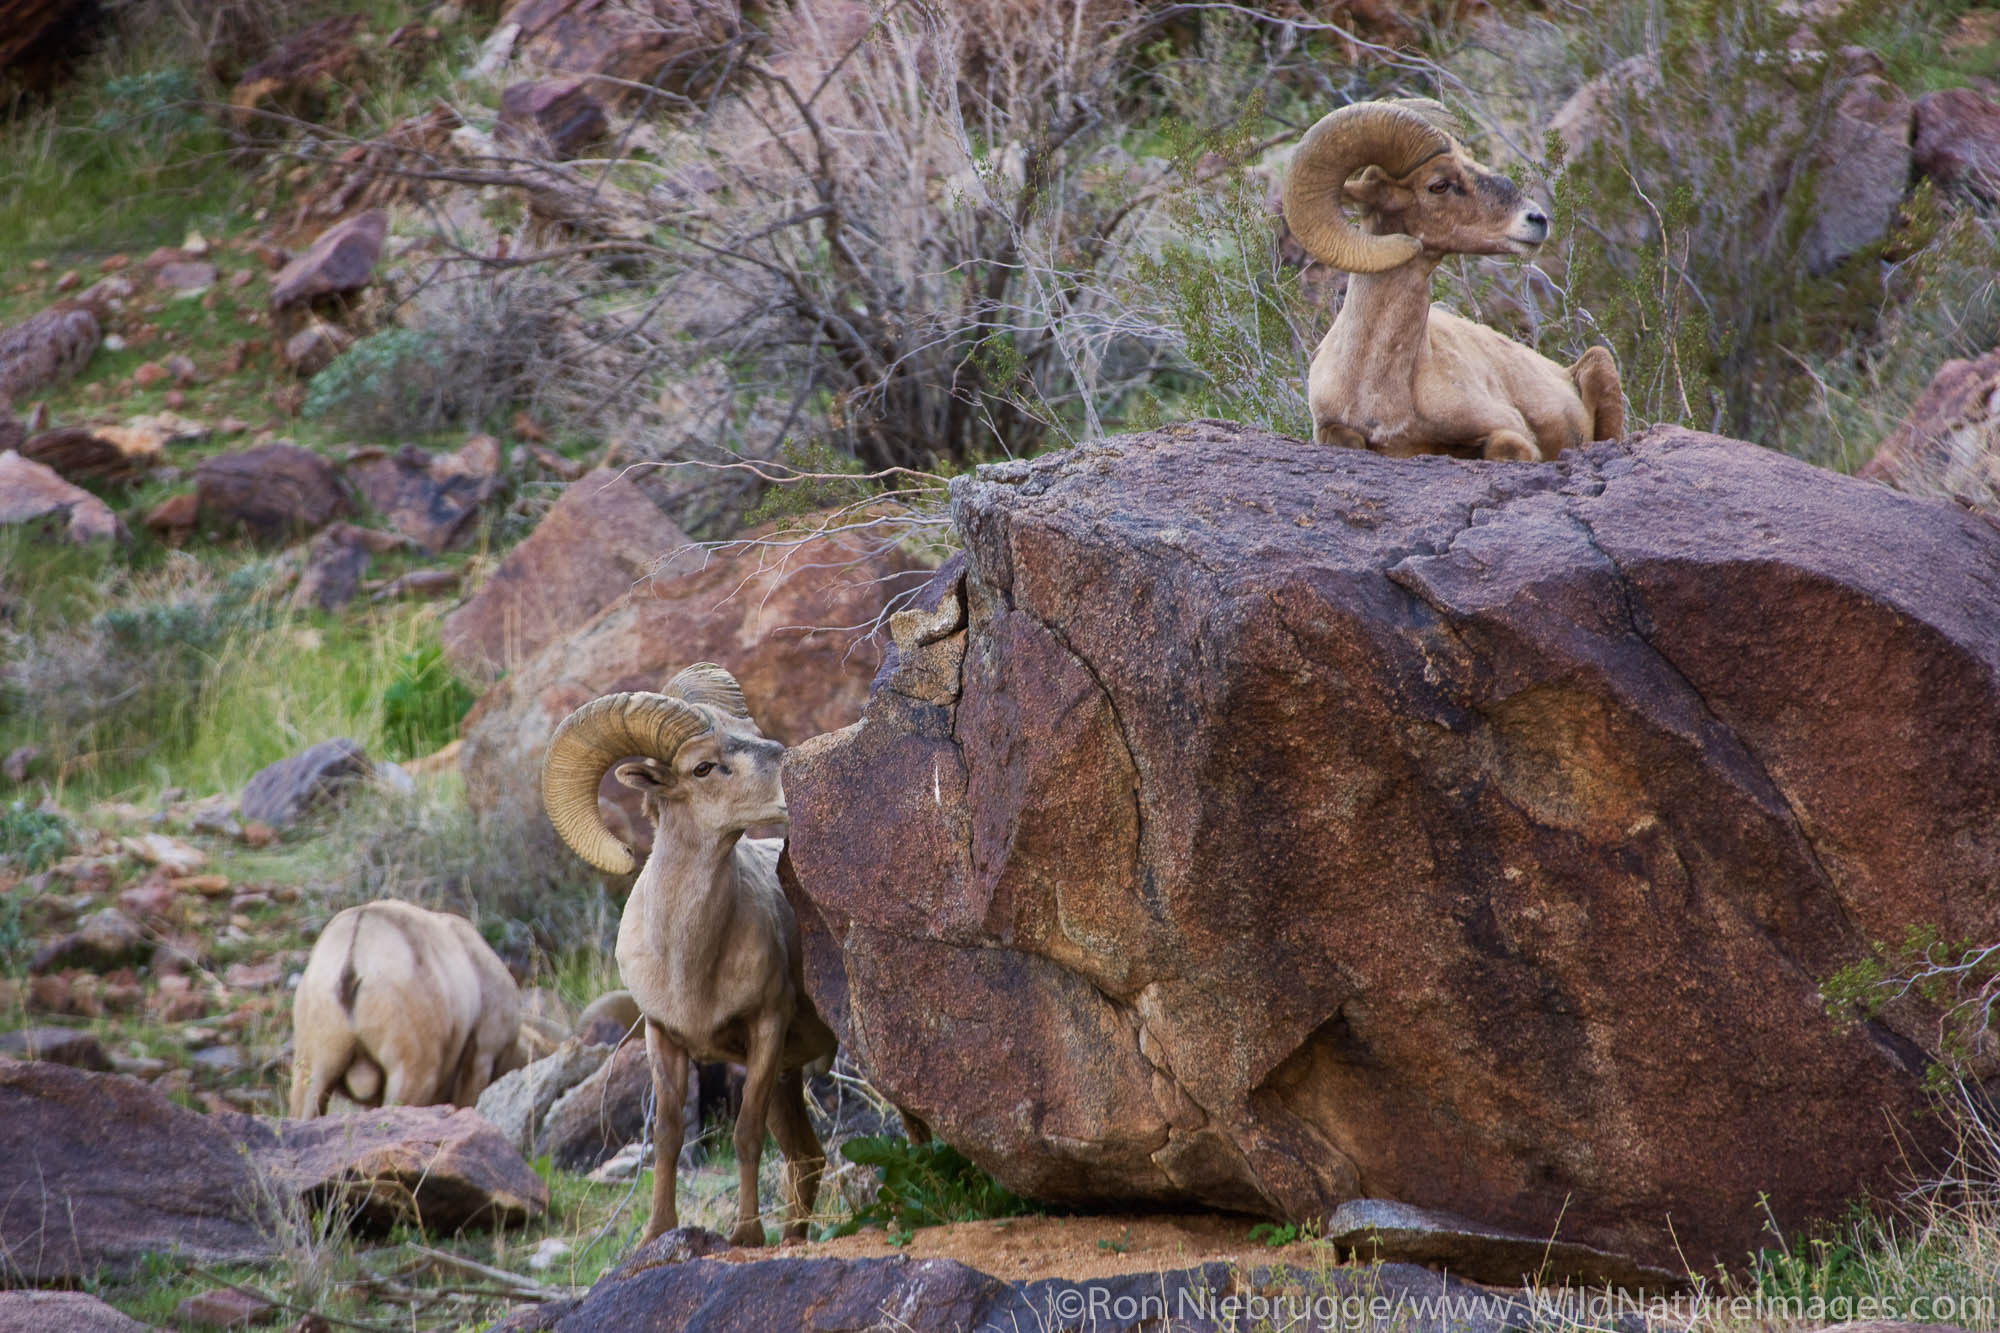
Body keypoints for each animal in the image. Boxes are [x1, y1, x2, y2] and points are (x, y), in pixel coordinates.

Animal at [540, 663, 837, 1247]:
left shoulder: (766, 1029)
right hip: (790, 1080)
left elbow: (746, 1134)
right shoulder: (664, 1038)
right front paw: (658, 1233)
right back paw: (793, 1240)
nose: (793, 782)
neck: (689, 966)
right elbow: (669, 1135)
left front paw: (746, 1236)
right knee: (807, 1159)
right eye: (703, 767)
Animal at [1282, 98, 1625, 461]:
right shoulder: (1331, 428)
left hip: (1600, 362)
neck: (1378, 383)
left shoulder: (1509, 430)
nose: (1537, 219)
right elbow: (1345, 438)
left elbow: (1503, 446)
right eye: (1439, 184)